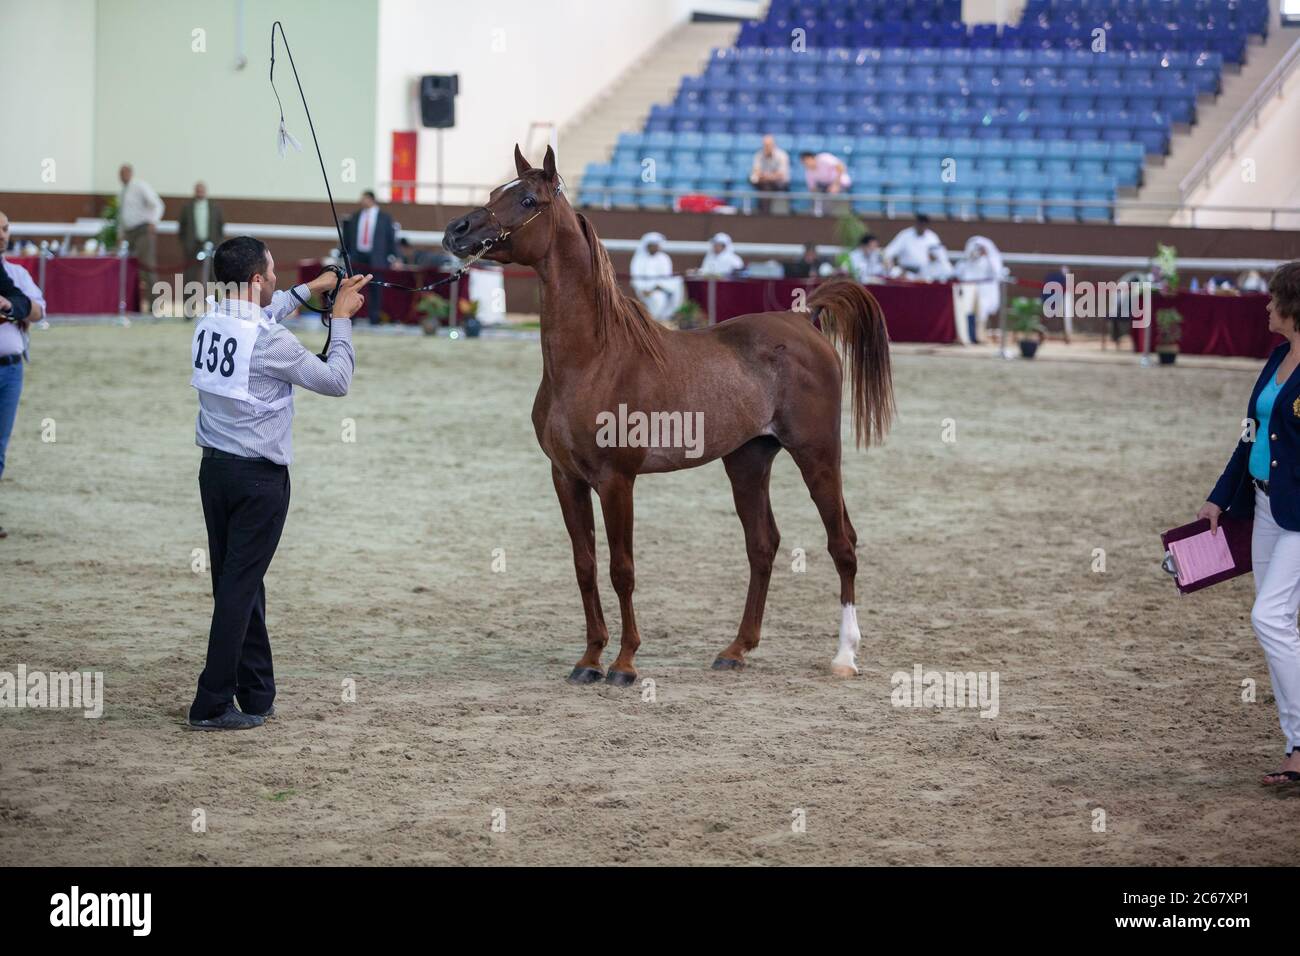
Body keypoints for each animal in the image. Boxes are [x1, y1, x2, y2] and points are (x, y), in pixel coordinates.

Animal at [444, 145, 895, 686]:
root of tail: (806, 320)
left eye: (528, 199)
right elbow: (584, 565)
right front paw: (589, 660)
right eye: (494, 193)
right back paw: (736, 649)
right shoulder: (566, 478)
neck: (593, 358)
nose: (457, 231)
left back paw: (845, 656)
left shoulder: (617, 480)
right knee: (762, 545)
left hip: (818, 454)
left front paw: (624, 664)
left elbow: (622, 569)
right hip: (748, 460)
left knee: (842, 542)